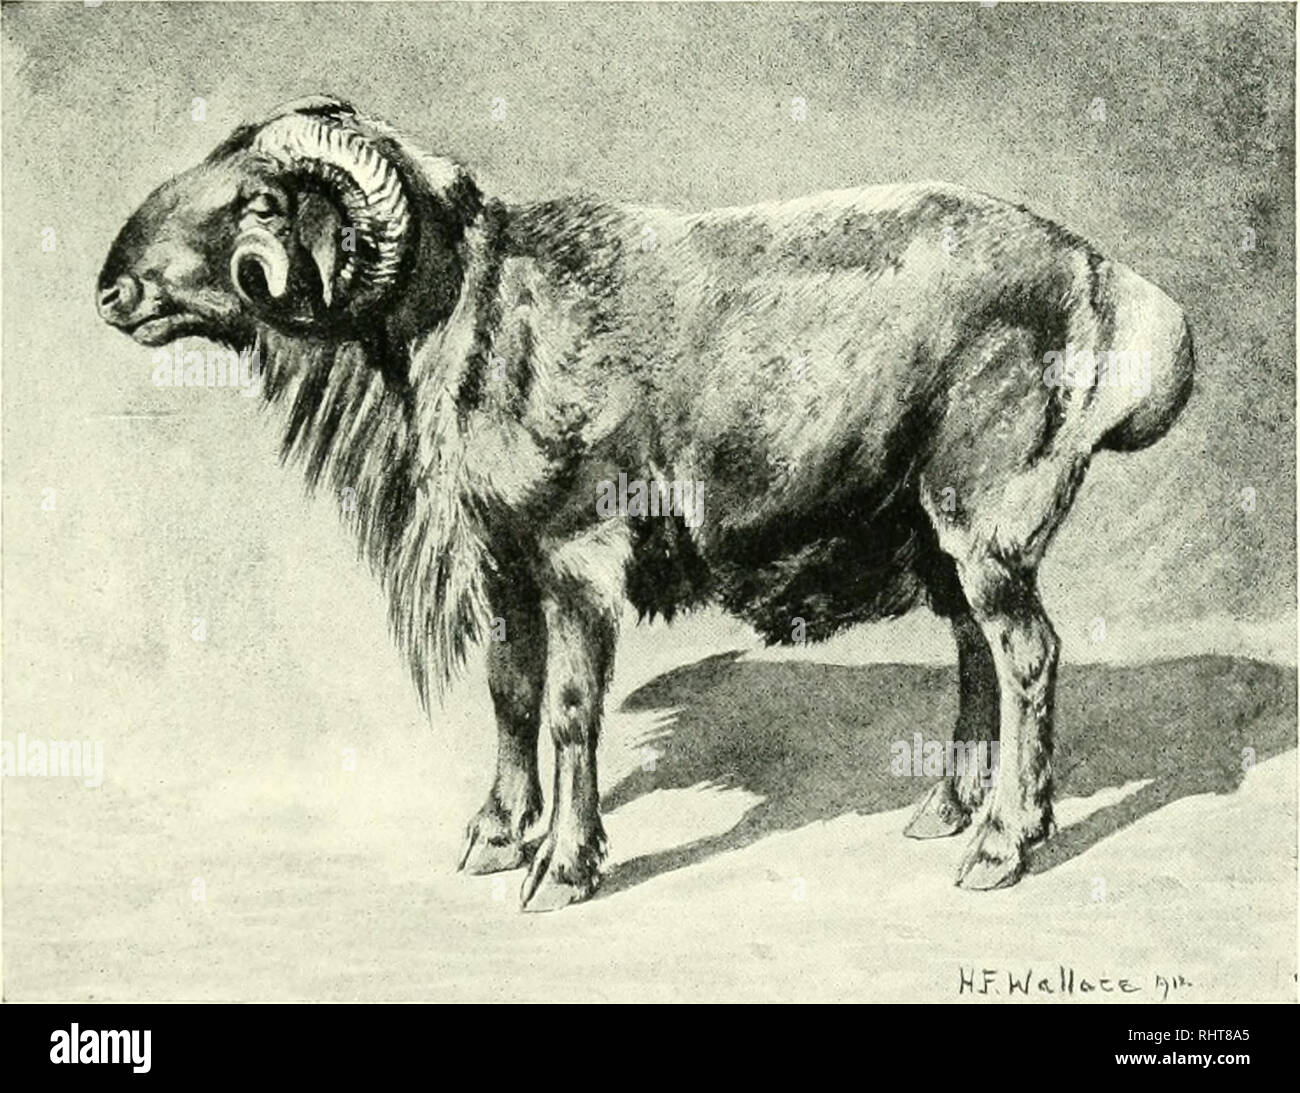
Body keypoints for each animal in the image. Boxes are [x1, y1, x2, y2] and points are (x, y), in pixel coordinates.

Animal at [97, 96, 1194, 911]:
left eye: (259, 203)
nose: (115, 290)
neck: (484, 315)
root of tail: (1115, 292)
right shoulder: (504, 566)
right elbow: (511, 695)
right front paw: (495, 835)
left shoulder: (581, 560)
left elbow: (572, 710)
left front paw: (562, 869)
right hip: (941, 536)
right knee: (975, 654)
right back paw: (944, 811)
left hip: (987, 525)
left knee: (1027, 656)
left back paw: (1001, 848)